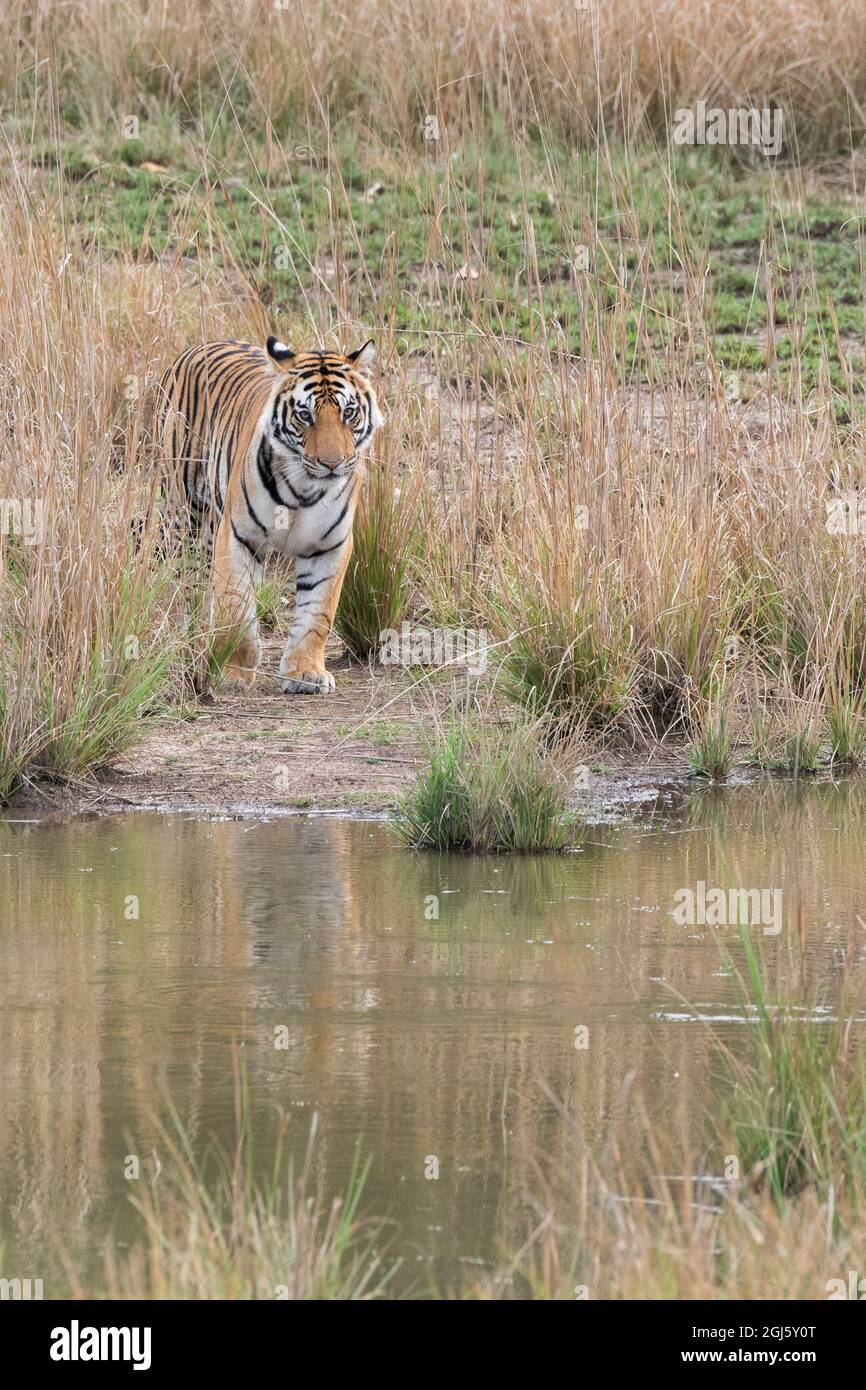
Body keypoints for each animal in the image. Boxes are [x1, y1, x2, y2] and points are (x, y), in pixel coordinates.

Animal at [156, 336, 383, 694]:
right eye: (305, 415)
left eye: (348, 412)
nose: (332, 463)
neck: (305, 489)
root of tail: (197, 347)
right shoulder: (238, 535)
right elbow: (236, 608)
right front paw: (232, 674)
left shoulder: (330, 545)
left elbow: (317, 613)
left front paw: (305, 673)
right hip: (185, 510)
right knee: (188, 582)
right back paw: (192, 639)